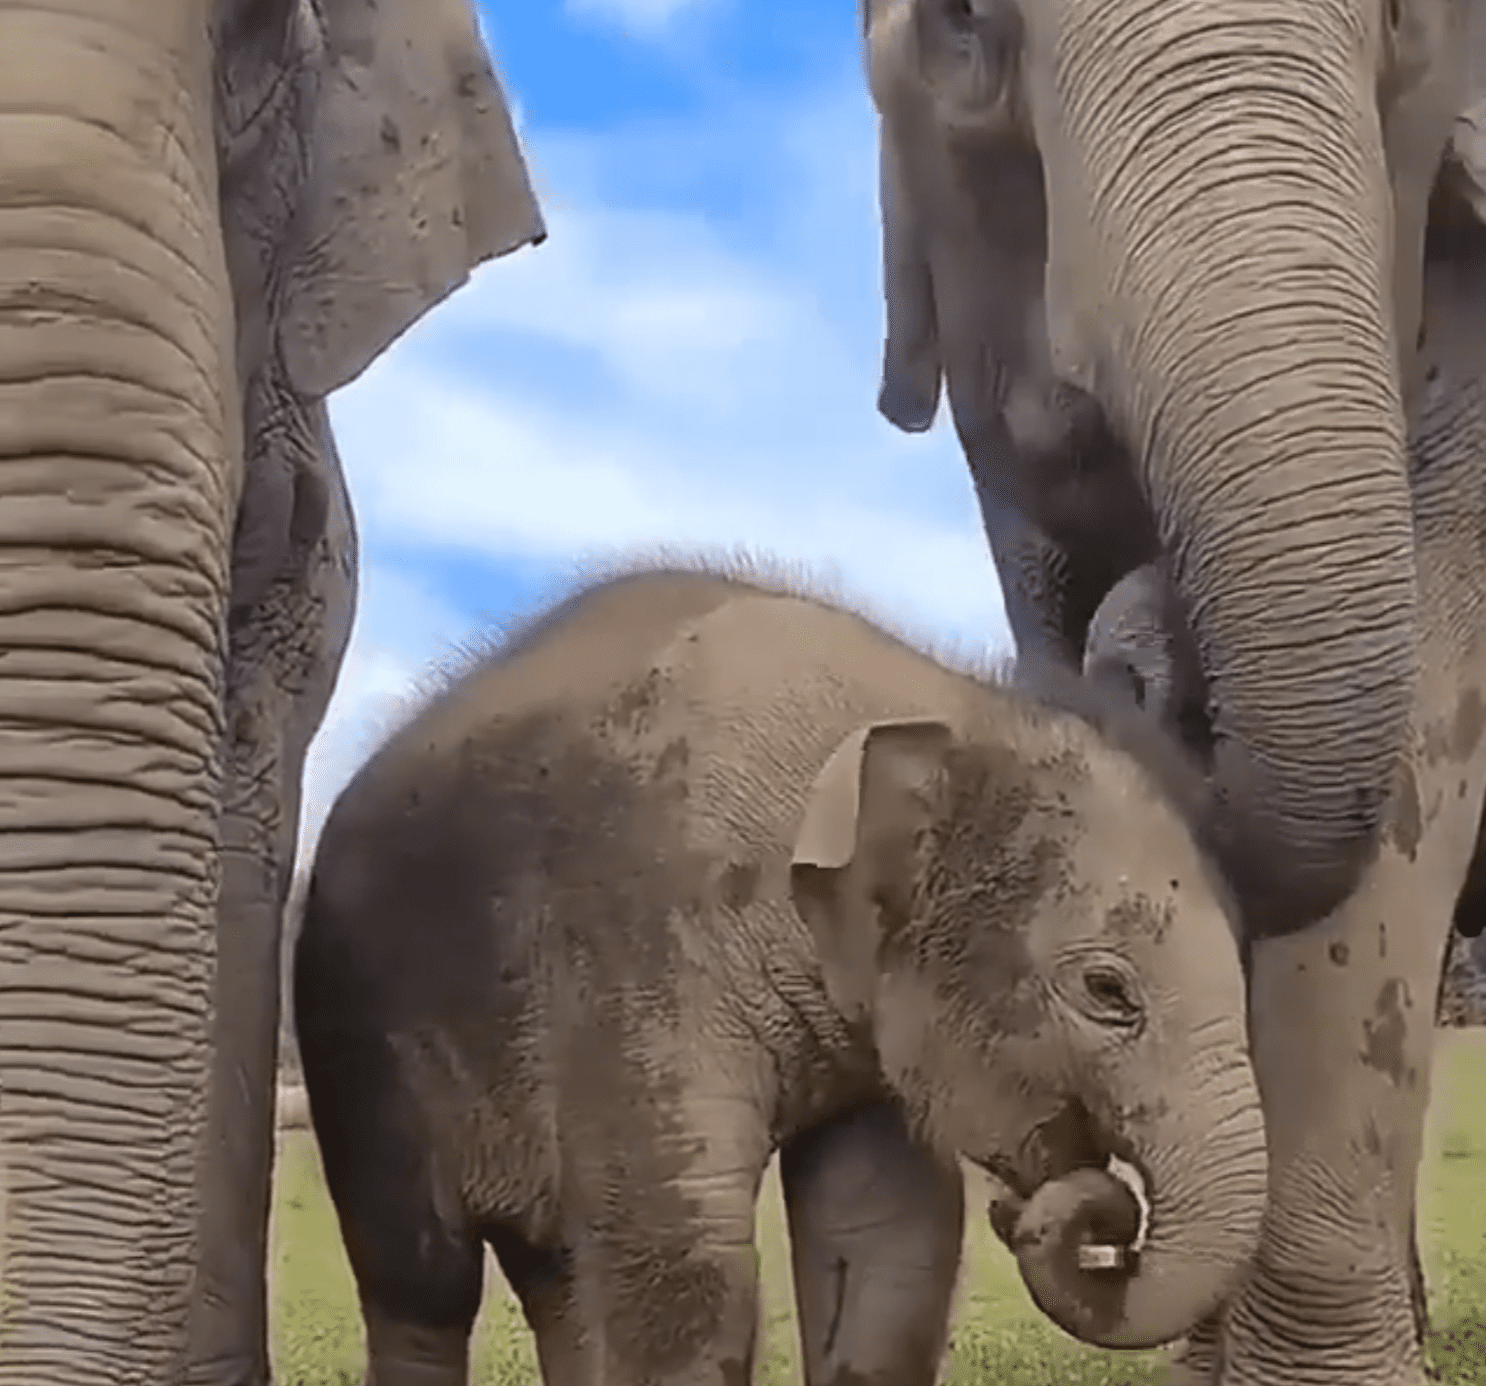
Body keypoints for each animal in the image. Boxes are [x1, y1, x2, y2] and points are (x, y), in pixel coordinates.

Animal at [293, 560, 1269, 1386]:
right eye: (1107, 992)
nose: (1063, 1213)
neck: (933, 705)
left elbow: (886, 1237)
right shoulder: (632, 933)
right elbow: (680, 1251)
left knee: (555, 1280)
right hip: (355, 1039)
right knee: (422, 1281)